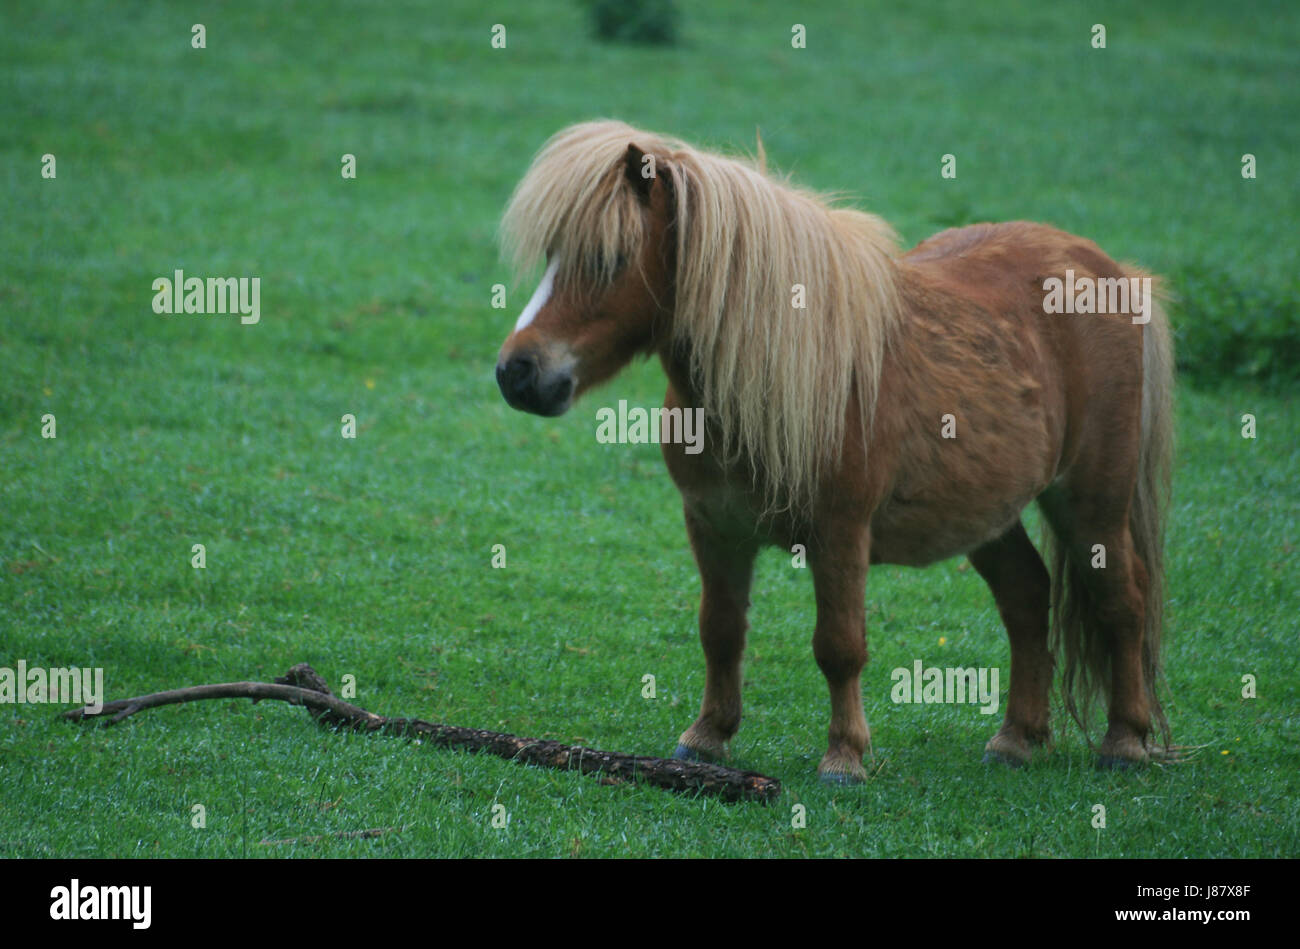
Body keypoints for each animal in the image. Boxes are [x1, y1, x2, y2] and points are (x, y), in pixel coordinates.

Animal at [494, 120, 1174, 783]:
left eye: (607, 258)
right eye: (552, 254)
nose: (517, 374)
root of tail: (1111, 270)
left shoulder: (840, 533)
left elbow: (839, 646)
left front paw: (844, 758)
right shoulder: (714, 527)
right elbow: (720, 631)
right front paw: (707, 738)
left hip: (1091, 503)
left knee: (1122, 600)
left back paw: (1124, 742)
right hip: (988, 513)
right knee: (1028, 596)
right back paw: (1016, 740)